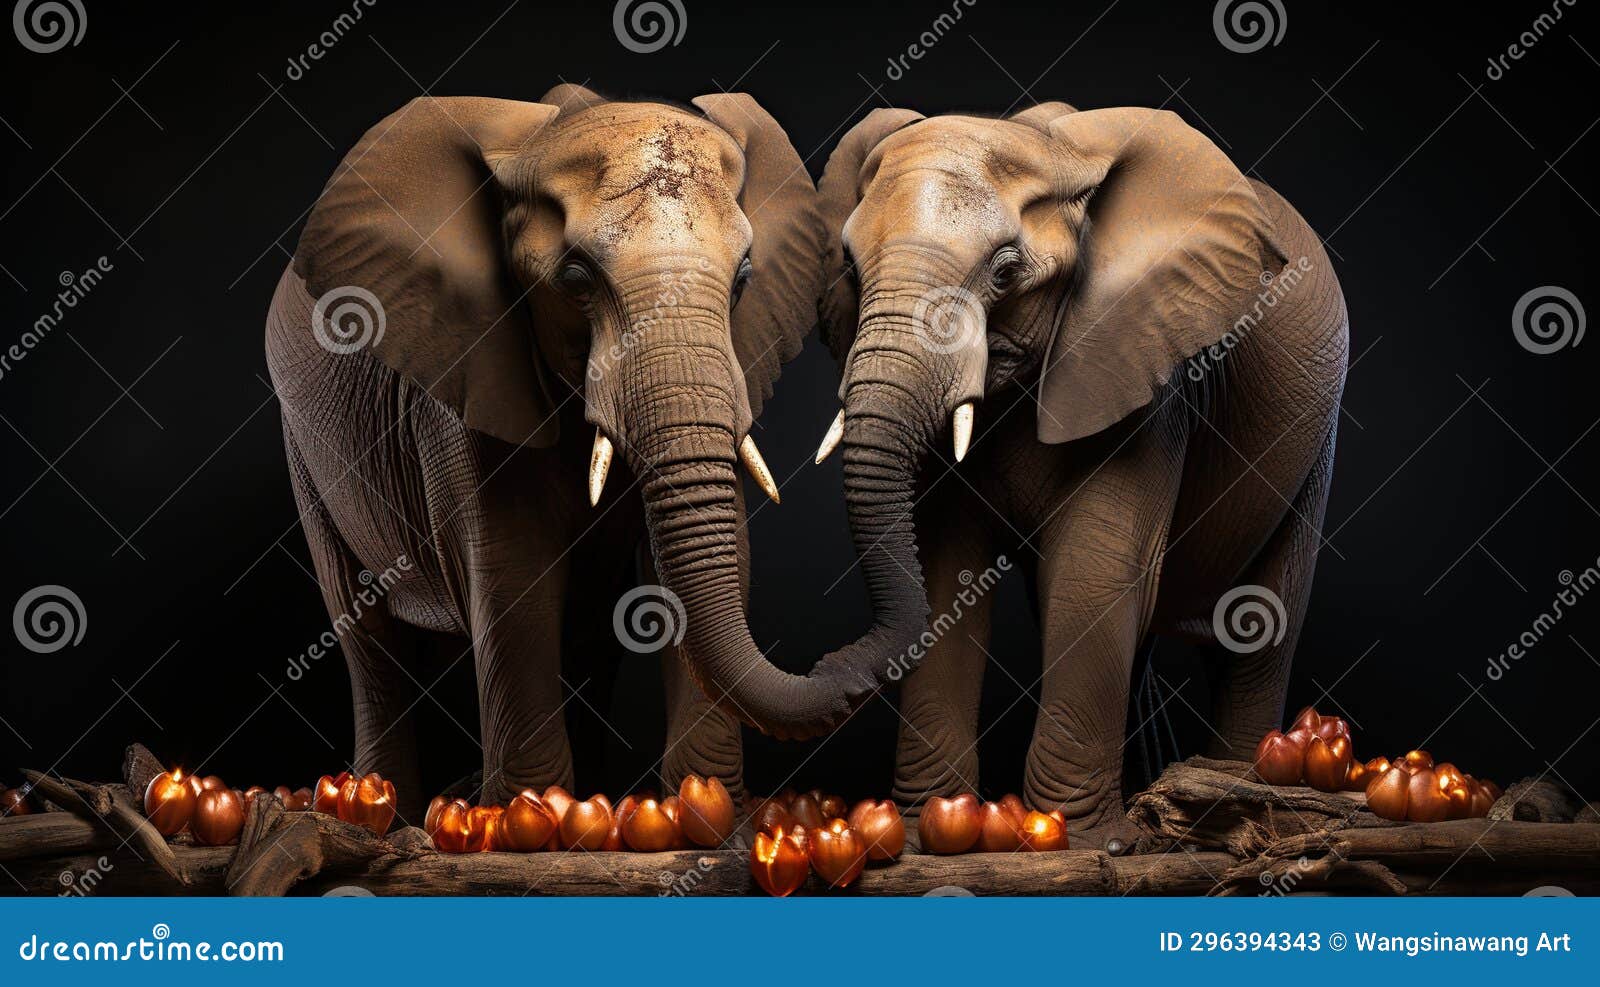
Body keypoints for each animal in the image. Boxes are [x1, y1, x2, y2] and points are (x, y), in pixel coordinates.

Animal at [265, 84, 888, 820]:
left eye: (742, 279)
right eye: (574, 278)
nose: (846, 665)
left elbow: (709, 558)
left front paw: (705, 811)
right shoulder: (470, 372)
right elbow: (512, 576)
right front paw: (522, 814)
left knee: (588, 631)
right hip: (304, 443)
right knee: (367, 640)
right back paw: (381, 805)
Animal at [811, 101, 1349, 850]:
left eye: (1006, 272)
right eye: (850, 265)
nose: (827, 673)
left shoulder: (1148, 371)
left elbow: (1094, 572)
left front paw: (1092, 841)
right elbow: (948, 566)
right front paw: (927, 829)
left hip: (1316, 436)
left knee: (1261, 623)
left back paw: (1240, 796)